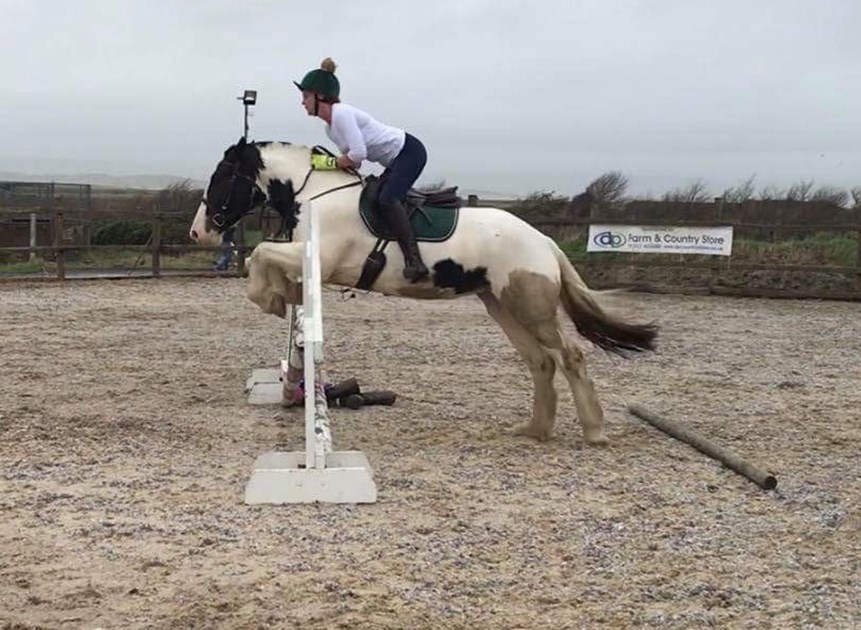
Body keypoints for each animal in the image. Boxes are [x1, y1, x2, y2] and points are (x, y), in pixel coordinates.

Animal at [189, 137, 657, 445]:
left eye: (223, 176)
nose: (198, 233)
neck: (318, 193)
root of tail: (544, 241)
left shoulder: (319, 257)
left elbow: (259, 253)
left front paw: (268, 298)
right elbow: (267, 260)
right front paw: (279, 296)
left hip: (531, 307)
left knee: (571, 356)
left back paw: (594, 431)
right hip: (500, 306)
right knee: (541, 362)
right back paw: (533, 430)